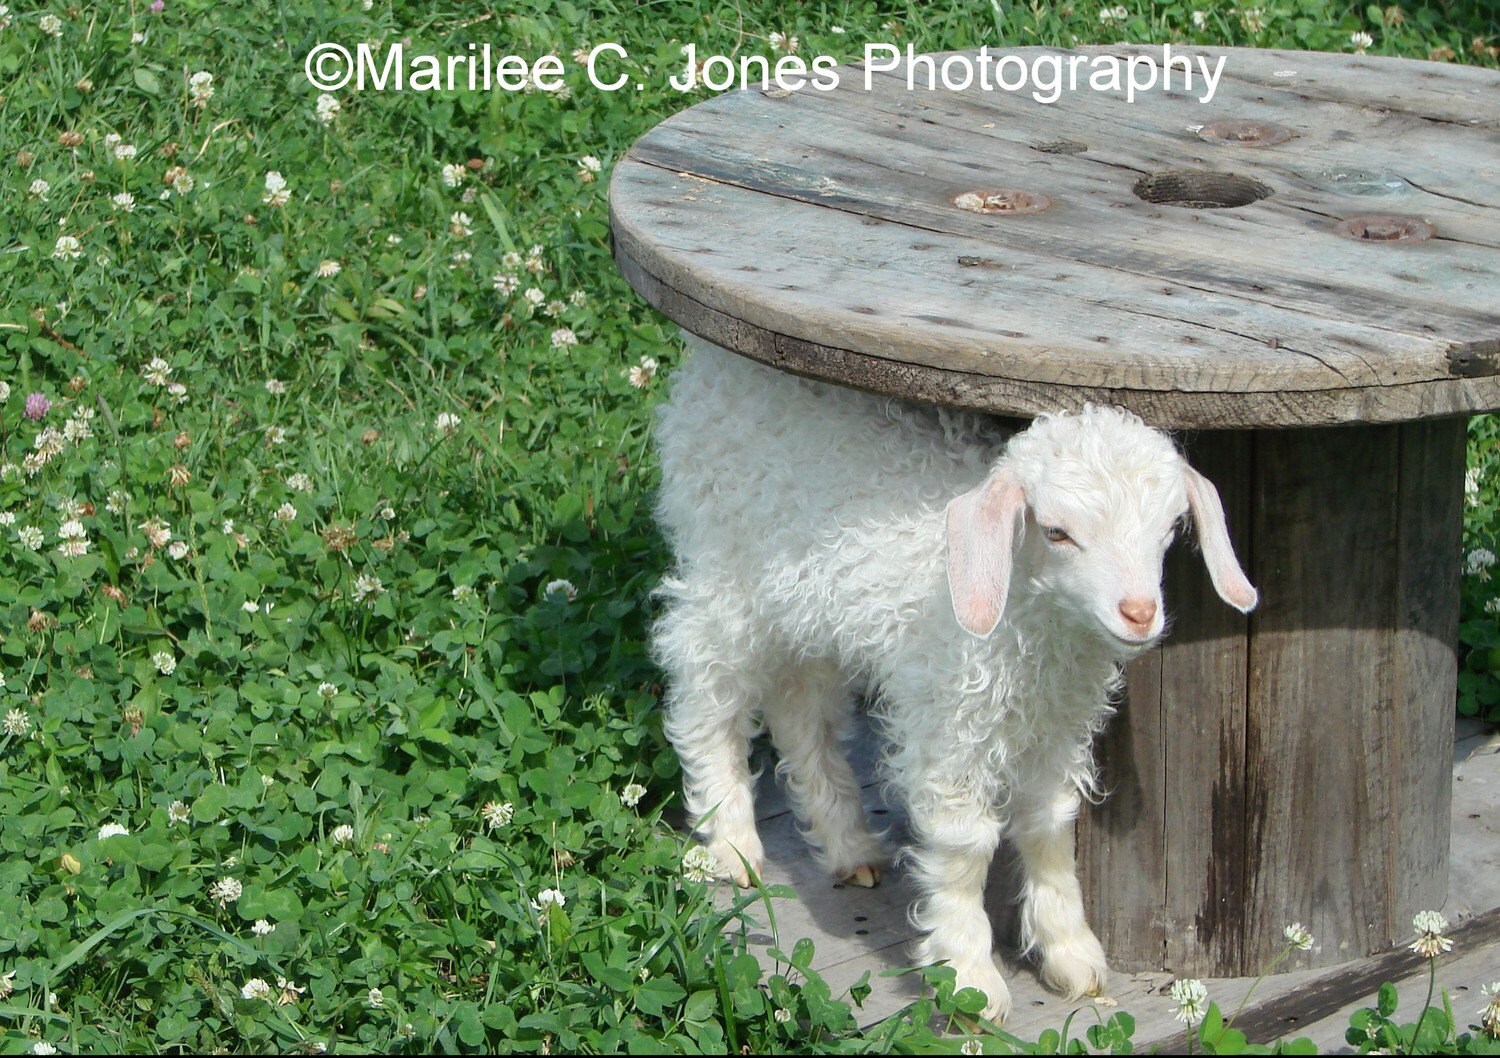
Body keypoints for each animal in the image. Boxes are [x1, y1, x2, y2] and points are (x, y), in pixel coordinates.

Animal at [651, 336, 1257, 1022]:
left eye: (1169, 530)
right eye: (1057, 531)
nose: (1138, 612)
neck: (1029, 622)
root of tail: (710, 372)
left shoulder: (1056, 728)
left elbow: (1050, 828)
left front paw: (1071, 953)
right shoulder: (950, 726)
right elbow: (965, 849)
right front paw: (970, 976)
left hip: (811, 603)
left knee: (800, 702)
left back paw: (848, 846)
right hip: (725, 566)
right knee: (702, 678)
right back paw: (730, 842)